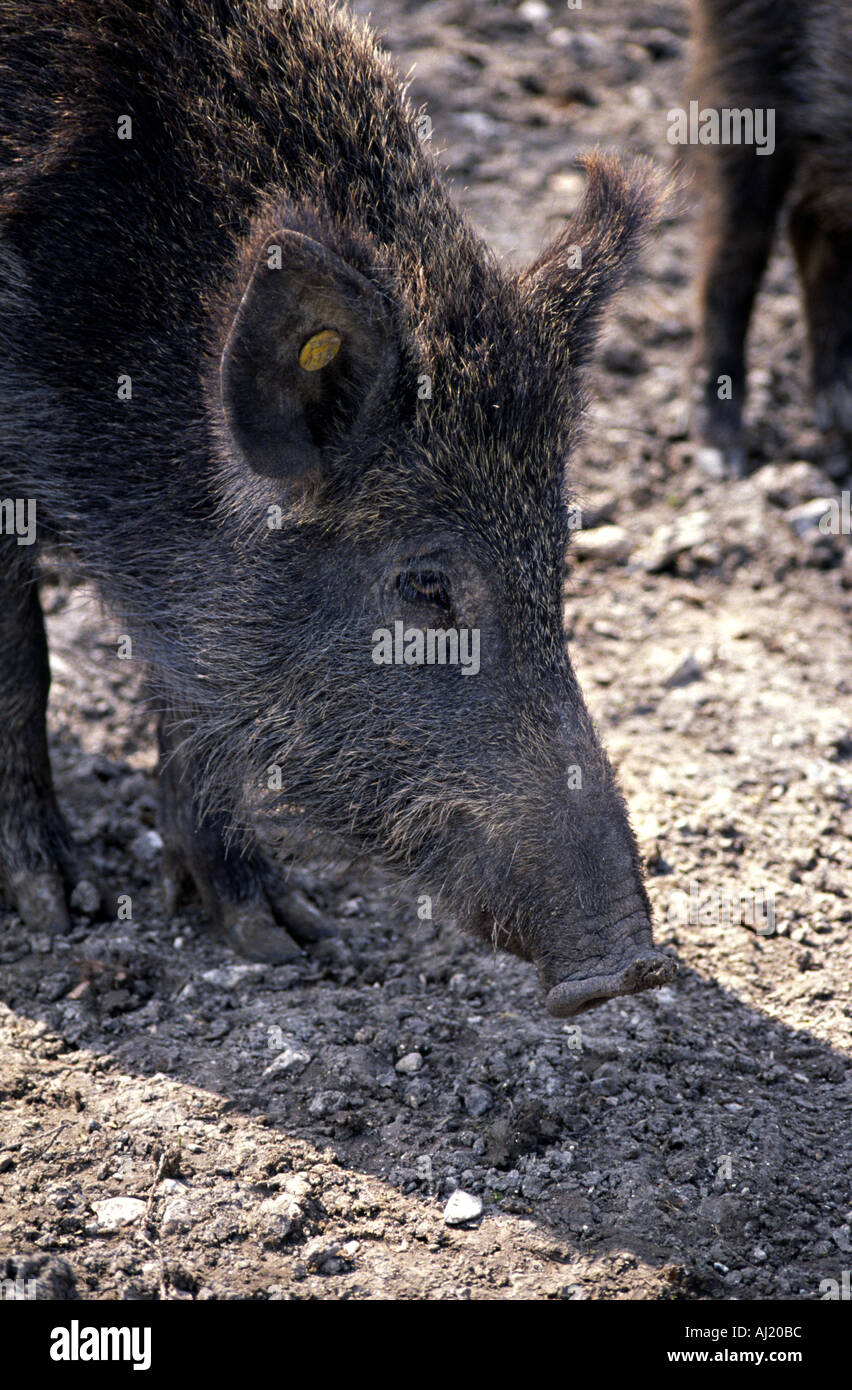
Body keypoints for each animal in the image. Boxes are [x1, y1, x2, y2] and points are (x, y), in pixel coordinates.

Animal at [0, 0, 675, 1017]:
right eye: (425, 584)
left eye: (557, 560)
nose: (634, 968)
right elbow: (23, 671)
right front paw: (55, 908)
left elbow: (189, 699)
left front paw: (287, 939)